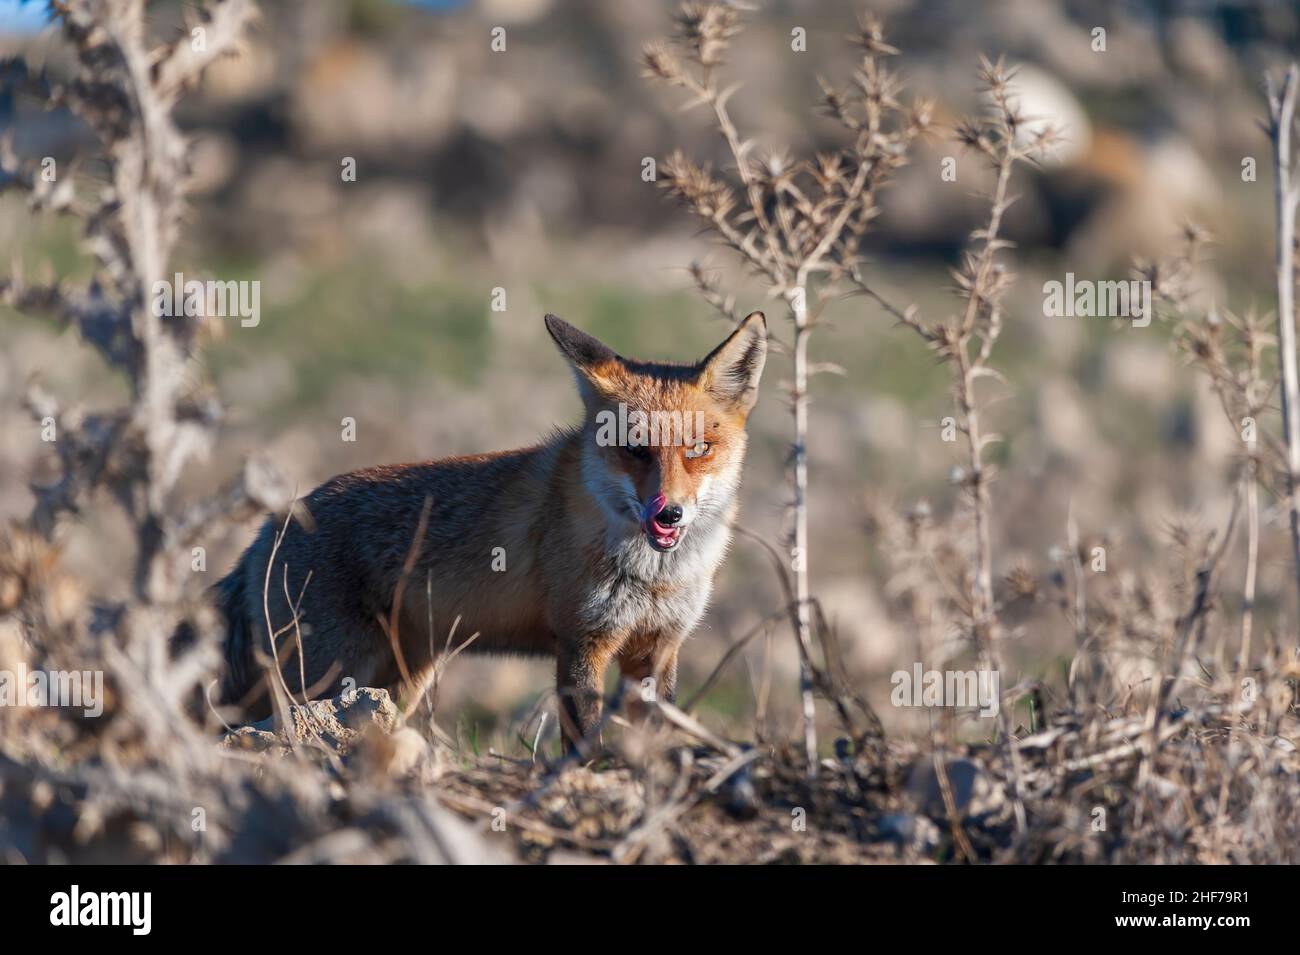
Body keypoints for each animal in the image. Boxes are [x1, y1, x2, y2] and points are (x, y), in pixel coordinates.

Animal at [214, 311, 768, 751]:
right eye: (634, 450)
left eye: (698, 449)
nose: (668, 514)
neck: (656, 577)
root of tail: (273, 527)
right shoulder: (581, 642)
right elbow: (583, 743)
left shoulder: (658, 648)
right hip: (325, 677)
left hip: (397, 681)